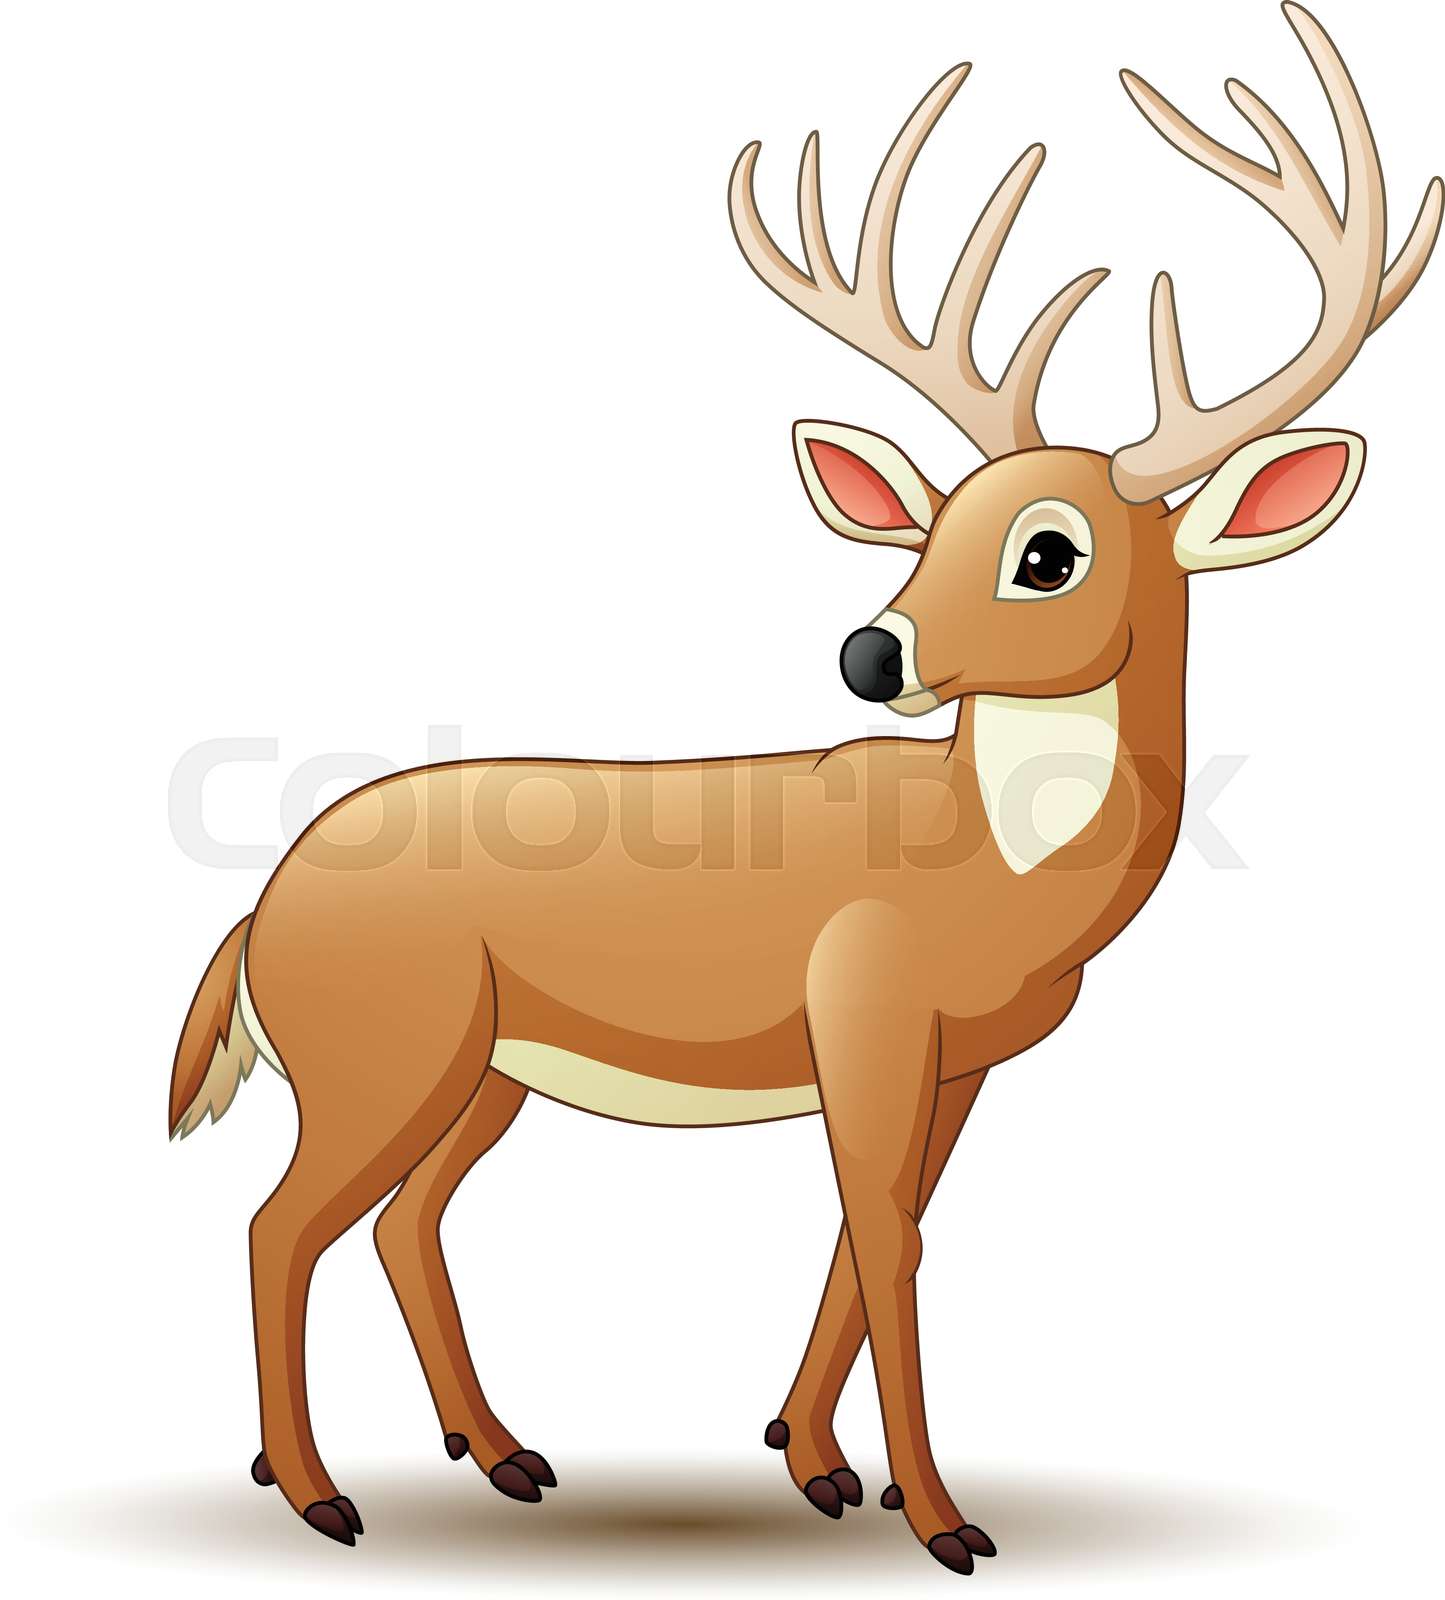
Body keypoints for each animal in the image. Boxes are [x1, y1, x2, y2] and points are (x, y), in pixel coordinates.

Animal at [170, 4, 1438, 1575]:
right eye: (928, 526)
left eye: (1046, 549)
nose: (867, 650)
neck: (987, 872)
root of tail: (257, 911)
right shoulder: (865, 1011)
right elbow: (888, 1233)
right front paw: (944, 1520)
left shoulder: (955, 1059)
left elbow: (868, 1230)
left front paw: (820, 1465)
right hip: (382, 1057)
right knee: (277, 1225)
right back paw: (317, 1493)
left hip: (484, 1073)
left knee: (402, 1224)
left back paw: (504, 1454)